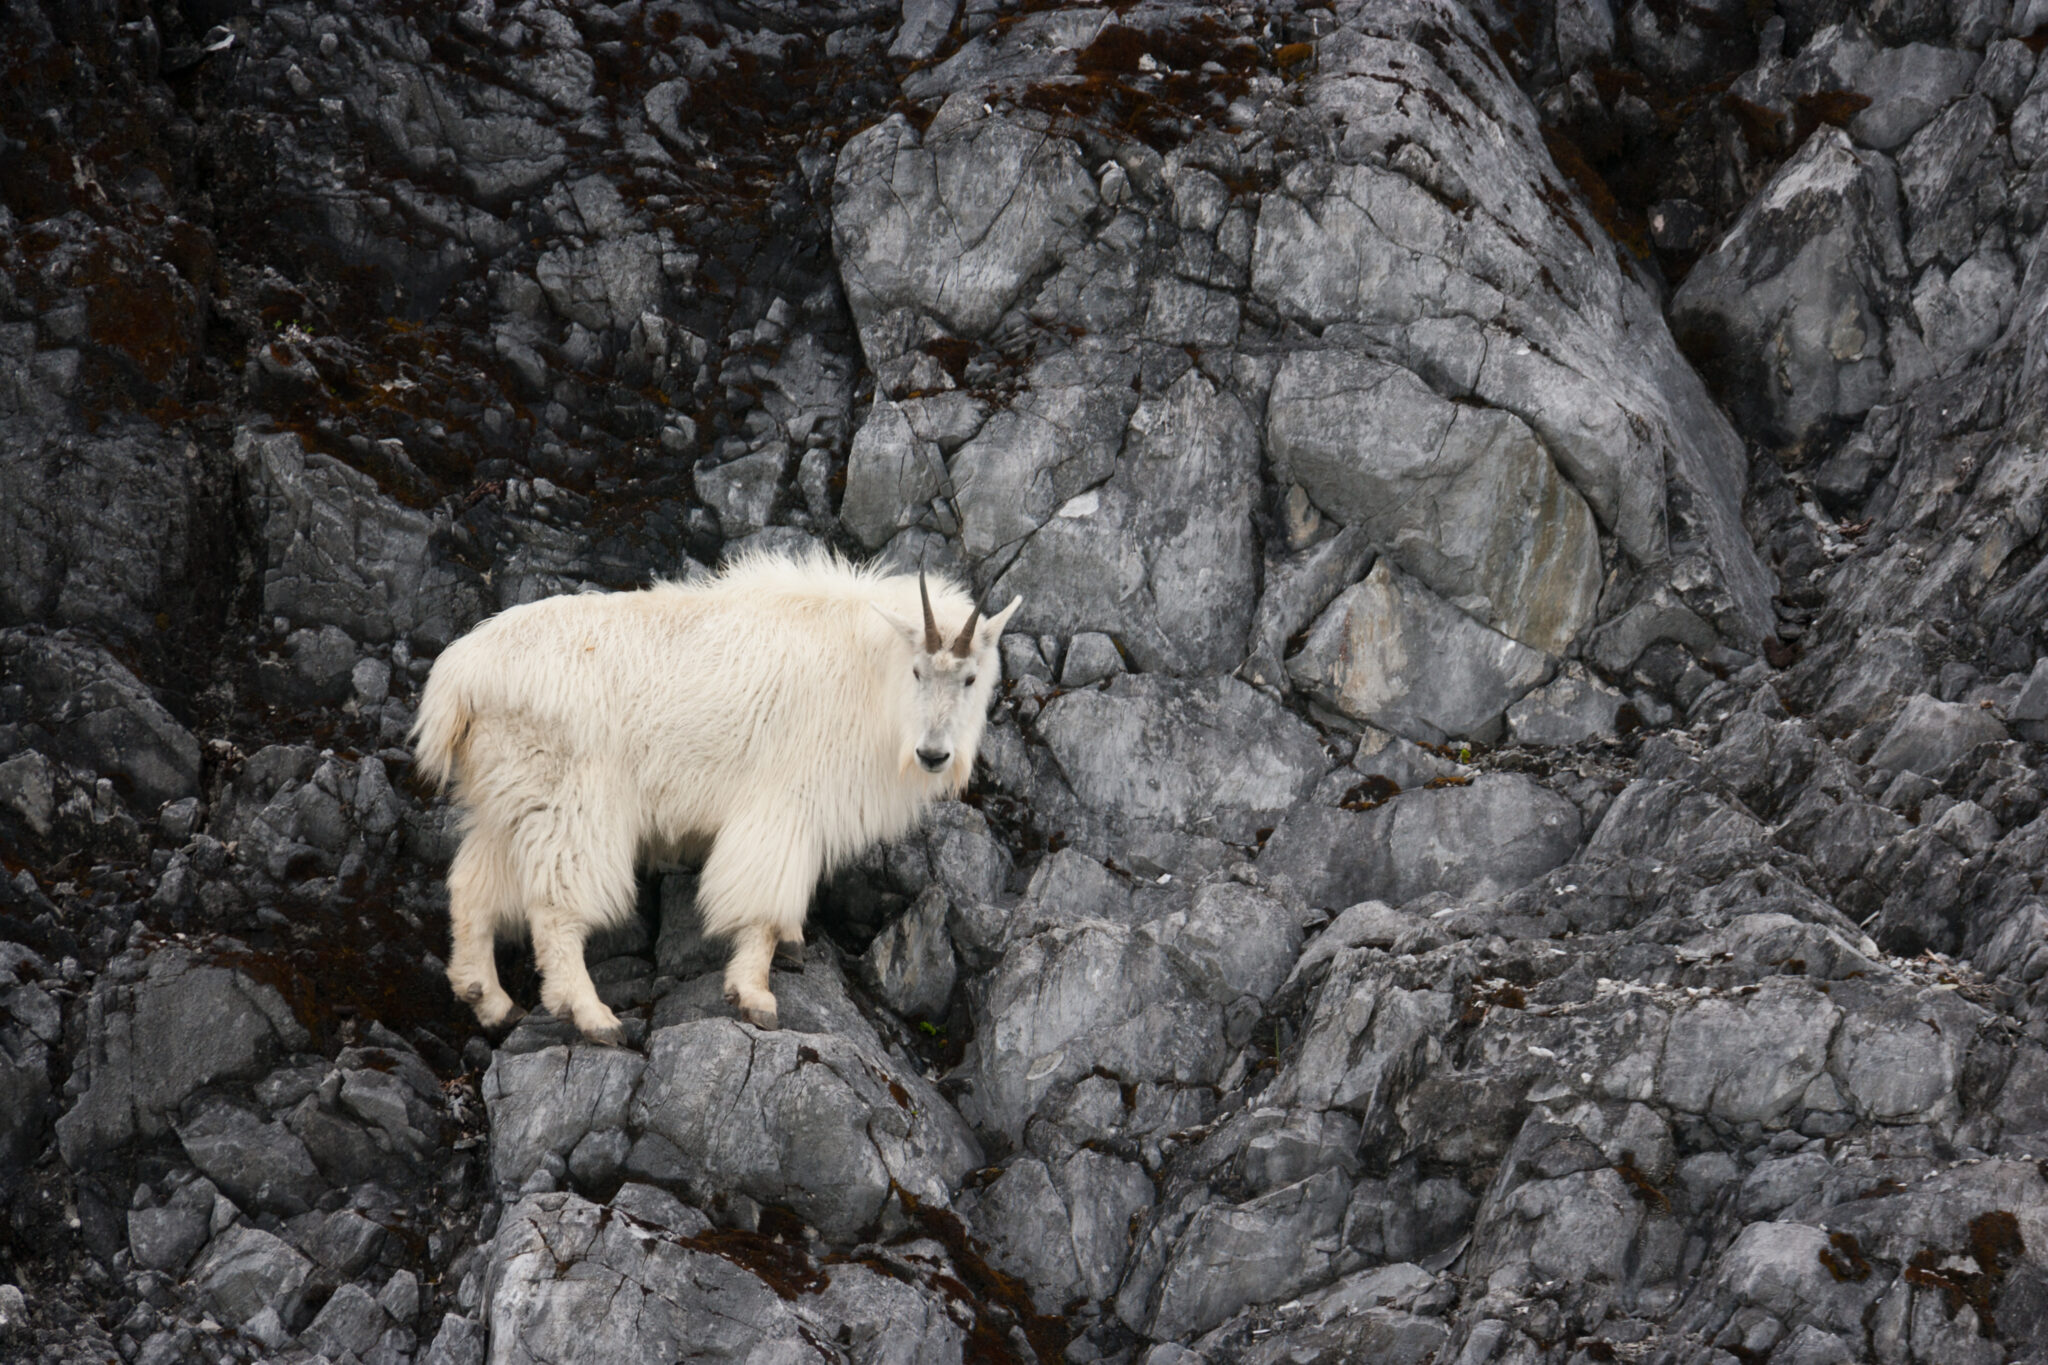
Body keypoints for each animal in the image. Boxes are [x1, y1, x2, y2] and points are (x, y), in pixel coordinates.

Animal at [411, 550, 1021, 1040]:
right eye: (919, 671)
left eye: (970, 679)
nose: (934, 754)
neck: (870, 673)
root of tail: (458, 678)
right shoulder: (781, 803)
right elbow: (763, 906)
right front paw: (755, 996)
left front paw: (793, 945)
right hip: (569, 803)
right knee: (556, 907)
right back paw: (591, 1016)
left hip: (505, 797)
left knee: (472, 887)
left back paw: (488, 1000)